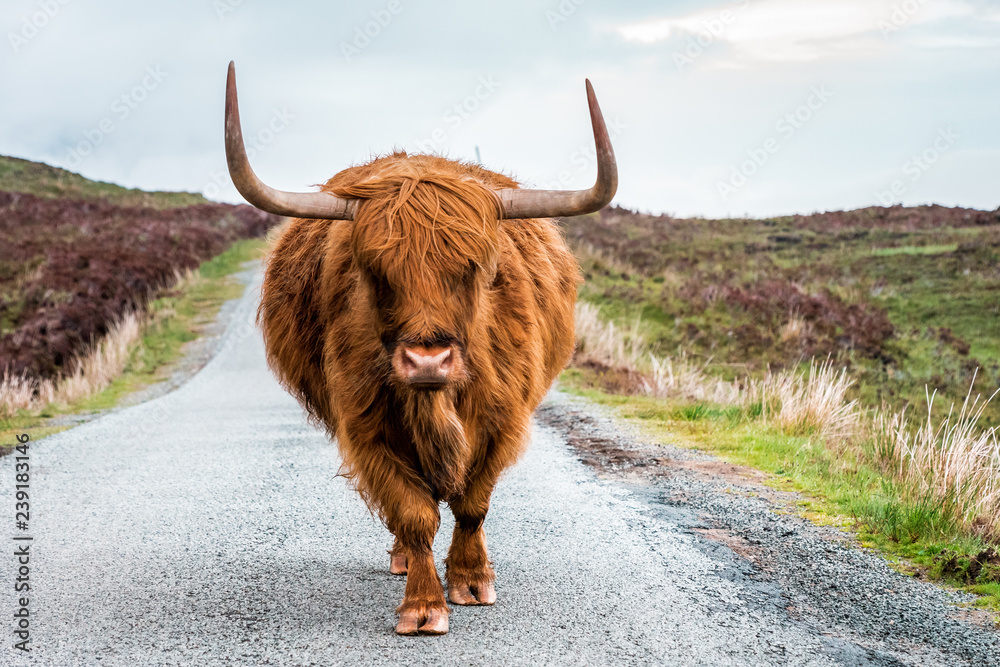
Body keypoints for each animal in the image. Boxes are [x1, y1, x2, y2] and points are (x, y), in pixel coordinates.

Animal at [223, 61, 617, 636]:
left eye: (475, 267)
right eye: (374, 270)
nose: (427, 360)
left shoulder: (503, 419)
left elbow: (472, 504)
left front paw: (472, 581)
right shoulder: (367, 425)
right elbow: (413, 512)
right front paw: (424, 605)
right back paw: (405, 559)